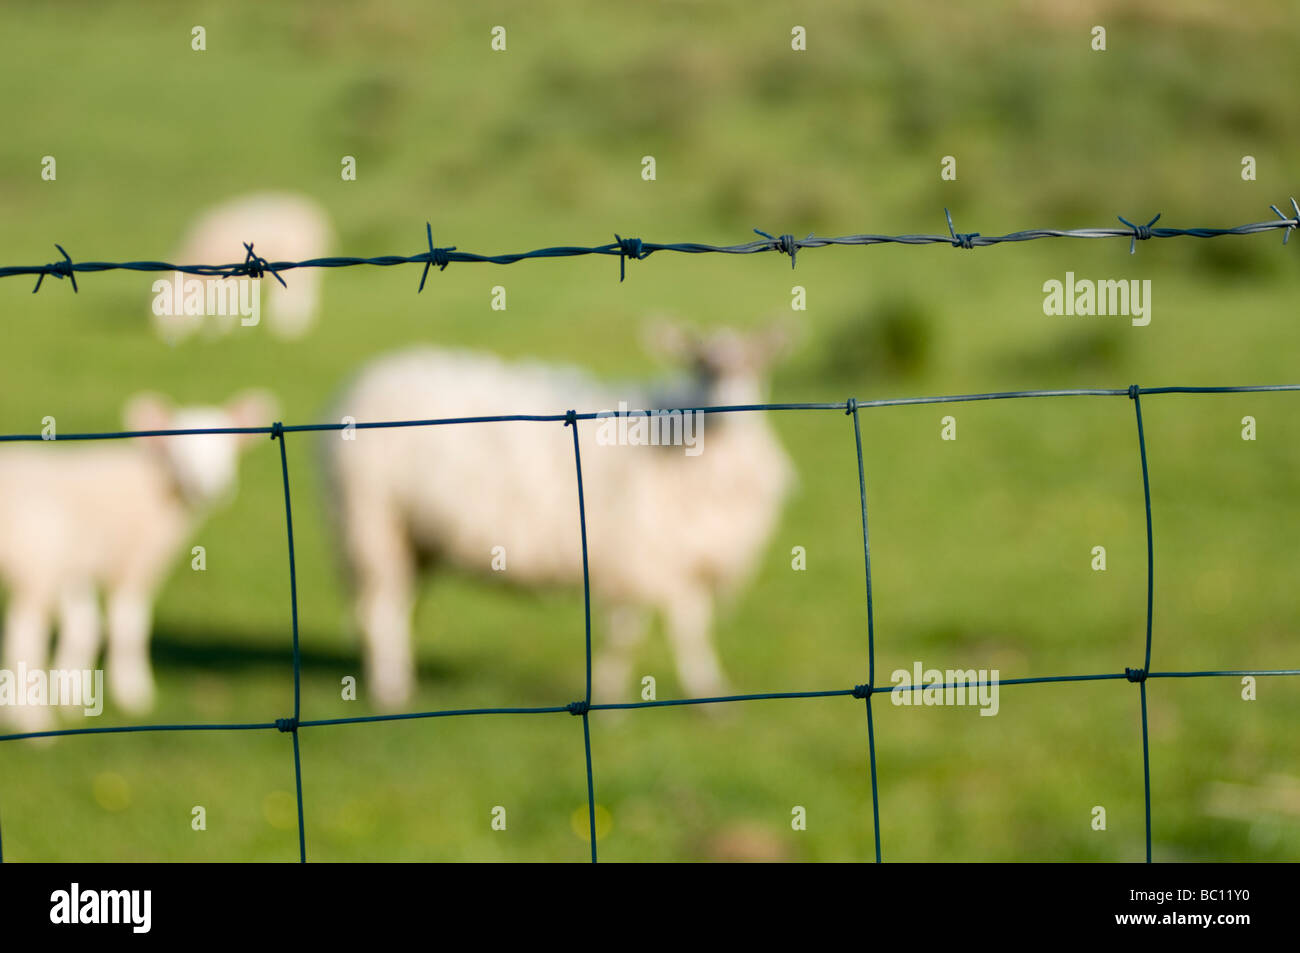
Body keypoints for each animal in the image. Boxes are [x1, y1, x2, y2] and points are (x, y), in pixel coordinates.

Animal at [0, 390, 276, 732]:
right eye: (177, 450)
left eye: (228, 446)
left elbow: (85, 626)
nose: (210, 487)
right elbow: (128, 626)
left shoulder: (78, 565)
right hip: (36, 562)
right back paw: (34, 721)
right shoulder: (133, 563)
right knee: (23, 634)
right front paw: (133, 694)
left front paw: (73, 697)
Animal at [151, 192, 334, 343]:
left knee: (298, 295)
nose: (168, 340)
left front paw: (221, 328)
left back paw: (288, 326)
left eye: (174, 308)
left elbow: (226, 299)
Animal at [323, 322, 796, 709]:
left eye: (757, 363)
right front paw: (610, 700)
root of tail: (364, 379)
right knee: (380, 611)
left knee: (396, 607)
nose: (729, 403)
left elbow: (691, 628)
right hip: (372, 523)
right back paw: (391, 694)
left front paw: (710, 694)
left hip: (409, 538)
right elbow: (626, 633)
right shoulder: (634, 556)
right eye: (700, 365)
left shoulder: (682, 555)